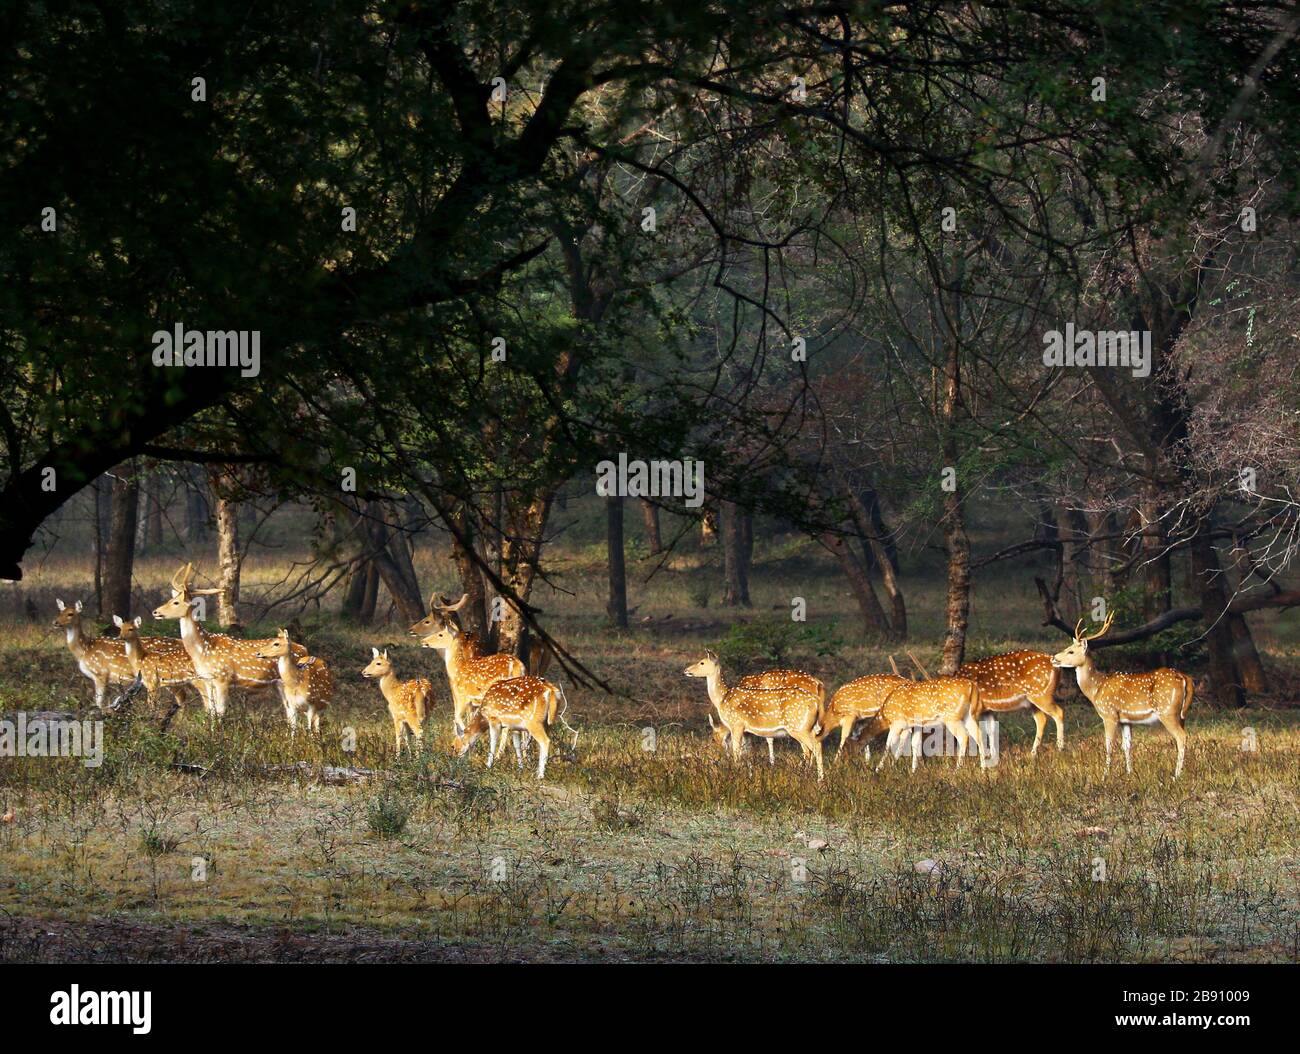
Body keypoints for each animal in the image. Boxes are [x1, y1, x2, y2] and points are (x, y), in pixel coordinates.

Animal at [151, 563, 305, 720]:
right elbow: (211, 712)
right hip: (278, 684)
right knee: (290, 712)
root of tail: (304, 649)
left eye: (175, 602)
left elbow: (220, 712)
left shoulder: (222, 678)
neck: (203, 650)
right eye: (169, 600)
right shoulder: (207, 680)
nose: (155, 612)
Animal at [683, 652, 824, 781]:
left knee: (815, 747)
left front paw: (736, 773)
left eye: (702, 662)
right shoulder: (747, 732)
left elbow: (737, 752)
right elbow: (748, 752)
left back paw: (820, 779)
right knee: (811, 748)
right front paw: (750, 774)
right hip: (808, 727)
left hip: (799, 726)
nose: (686, 670)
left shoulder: (737, 724)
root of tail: (816, 701)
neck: (723, 699)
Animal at [1050, 613, 1193, 778]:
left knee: (1181, 737)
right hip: (1182, 714)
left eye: (1071, 651)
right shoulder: (1126, 720)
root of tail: (1185, 678)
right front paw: (1130, 773)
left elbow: (1109, 745)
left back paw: (1177, 776)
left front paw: (1105, 775)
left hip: (1167, 711)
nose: (1053, 658)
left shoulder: (1109, 714)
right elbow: (1127, 746)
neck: (1096, 689)